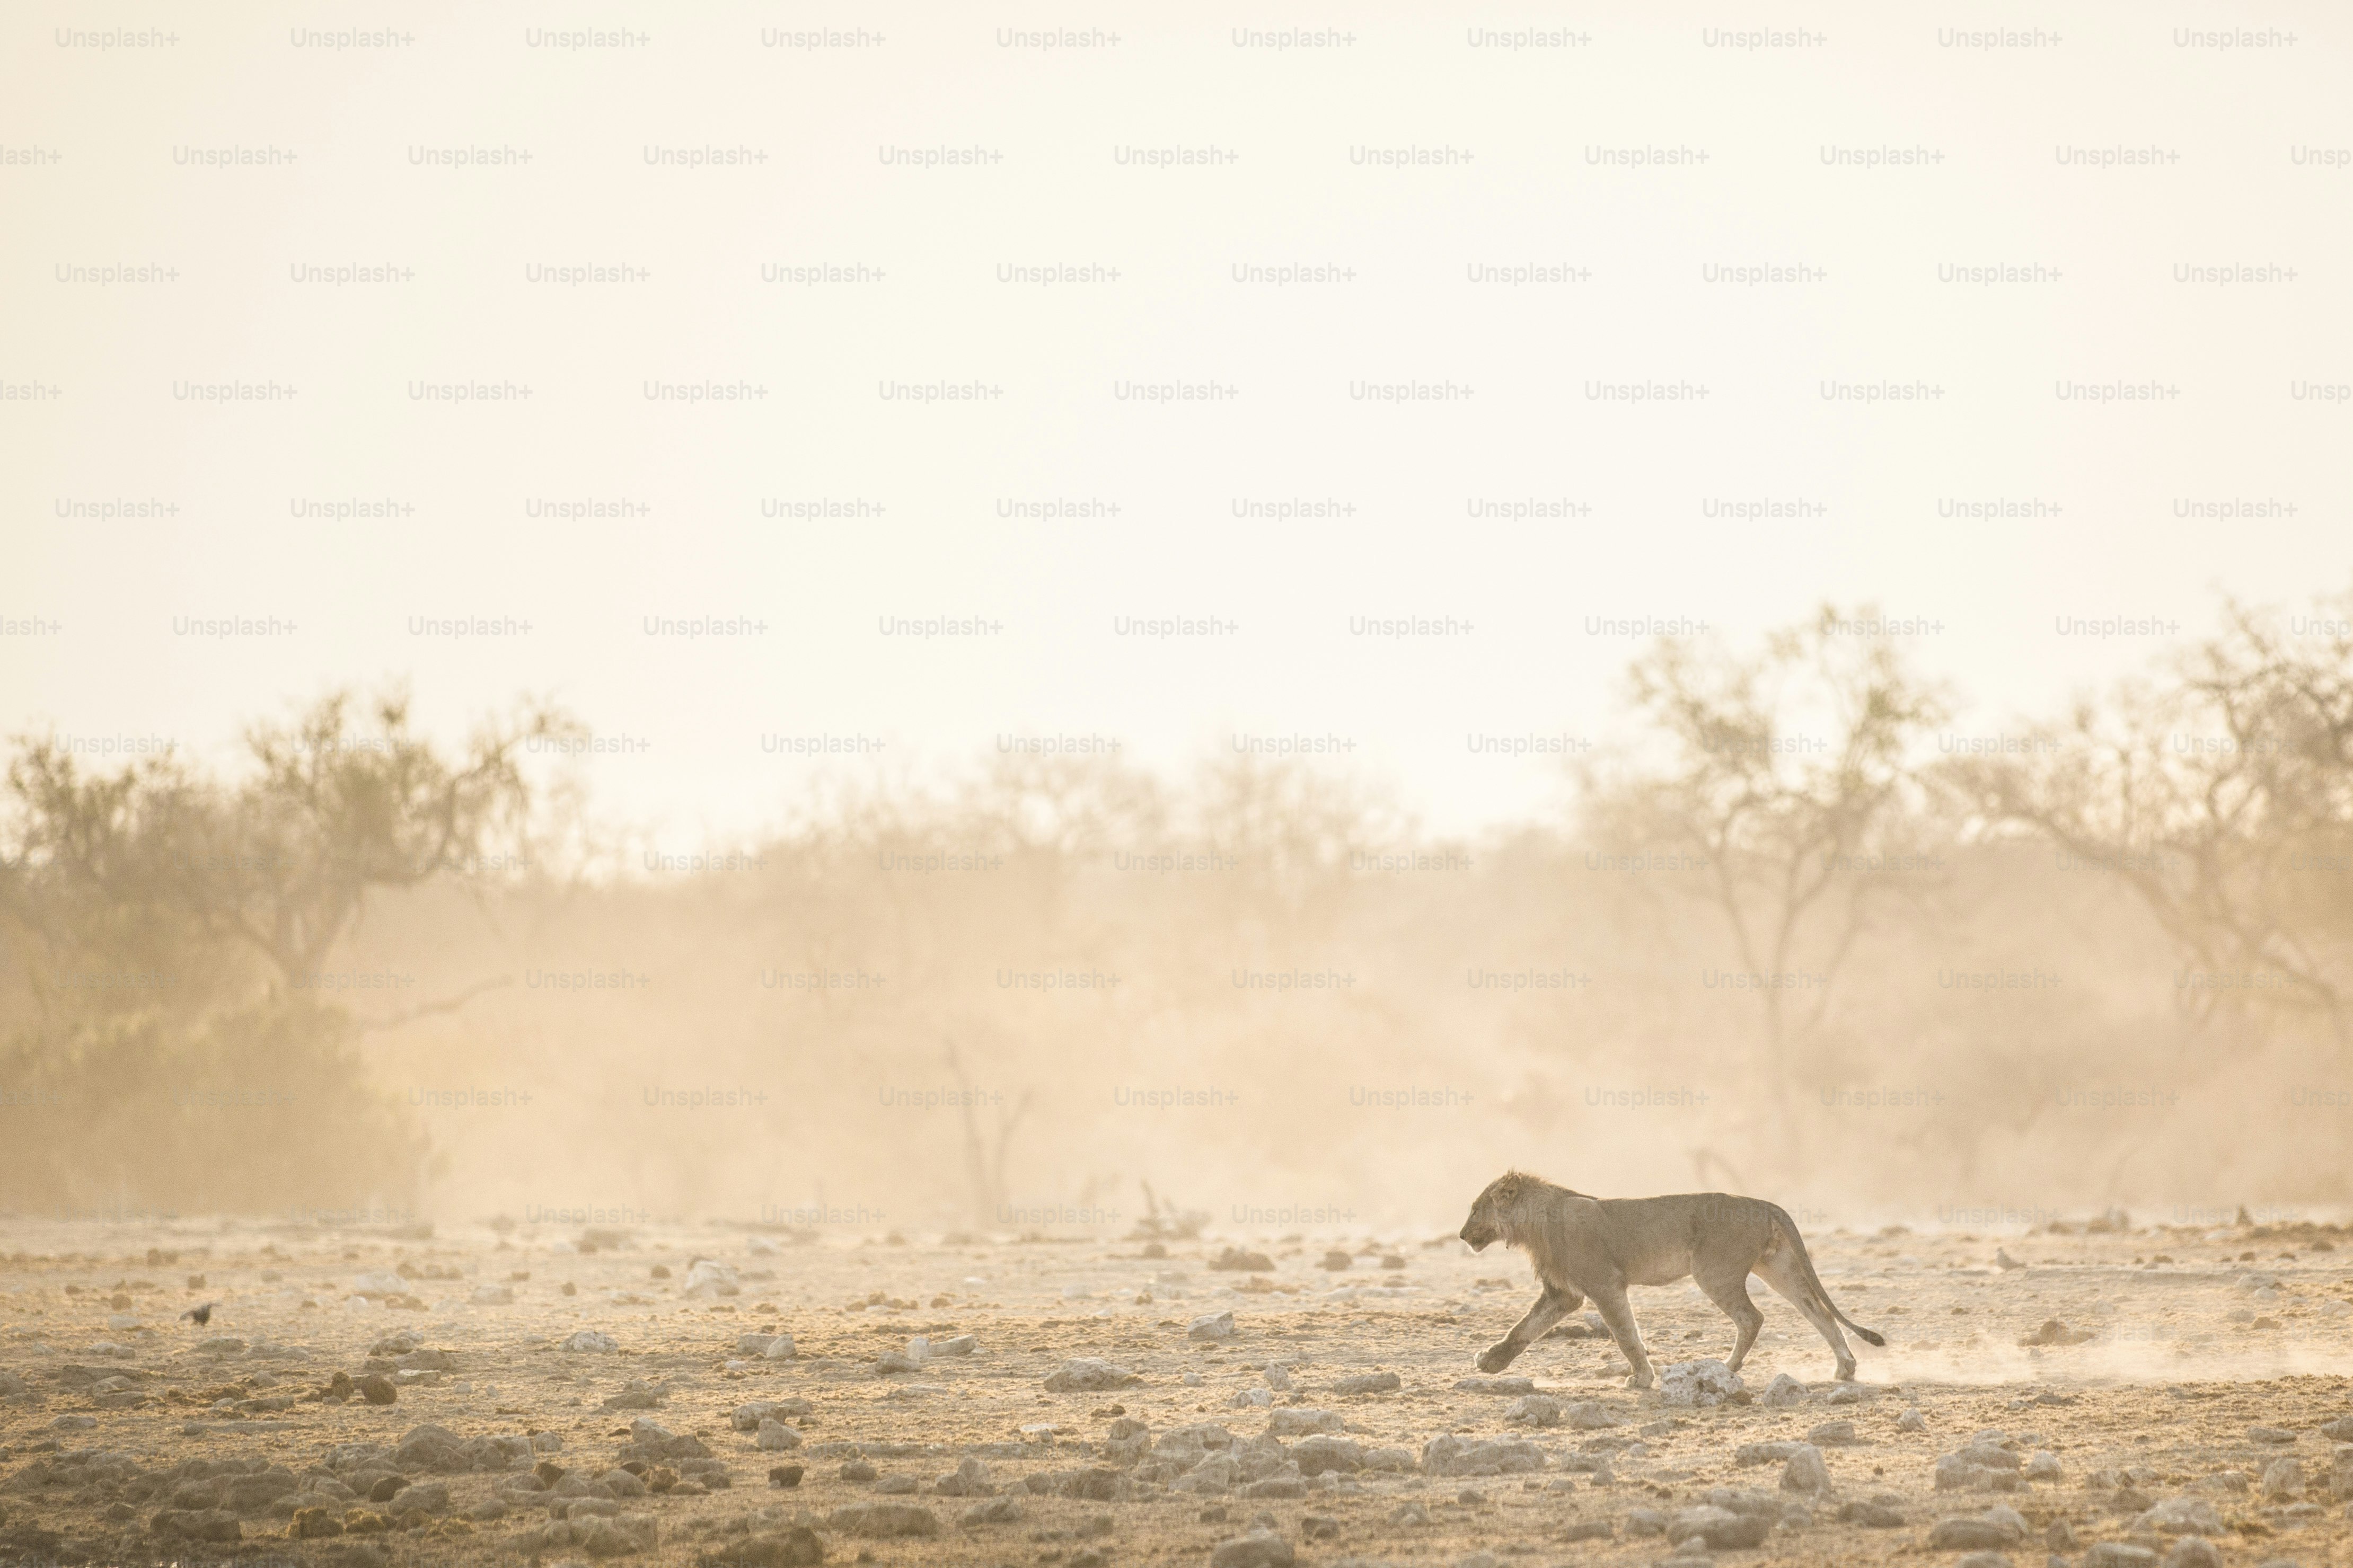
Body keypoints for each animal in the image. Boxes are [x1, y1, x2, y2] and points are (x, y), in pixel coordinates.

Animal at [1457, 1170, 1885, 1387]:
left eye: (1476, 1209)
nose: (1461, 1235)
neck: (1534, 1222)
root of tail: (1762, 1203)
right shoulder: (1562, 1293)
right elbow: (1523, 1329)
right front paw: (1490, 1362)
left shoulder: (1603, 1285)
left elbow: (1626, 1335)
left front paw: (1643, 1378)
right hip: (1776, 1266)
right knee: (1817, 1311)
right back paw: (1845, 1368)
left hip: (1713, 1271)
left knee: (1753, 1318)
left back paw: (1726, 1369)